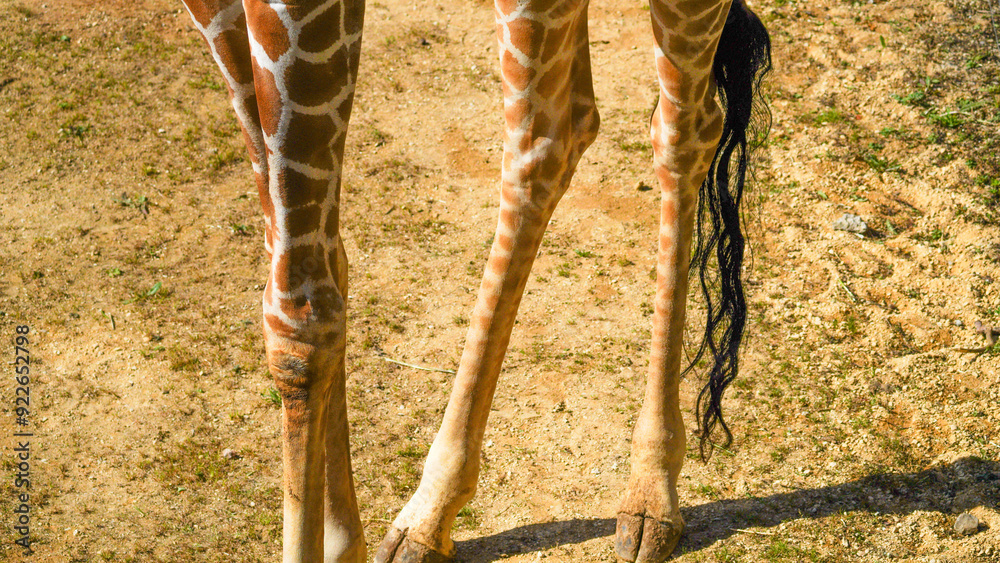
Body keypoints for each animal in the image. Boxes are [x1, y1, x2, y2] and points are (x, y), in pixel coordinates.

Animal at [181, 0, 770, 562]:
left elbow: (300, 324)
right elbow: (313, 258)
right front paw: (342, 542)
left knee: (640, 133)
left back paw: (643, 497)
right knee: (580, 120)